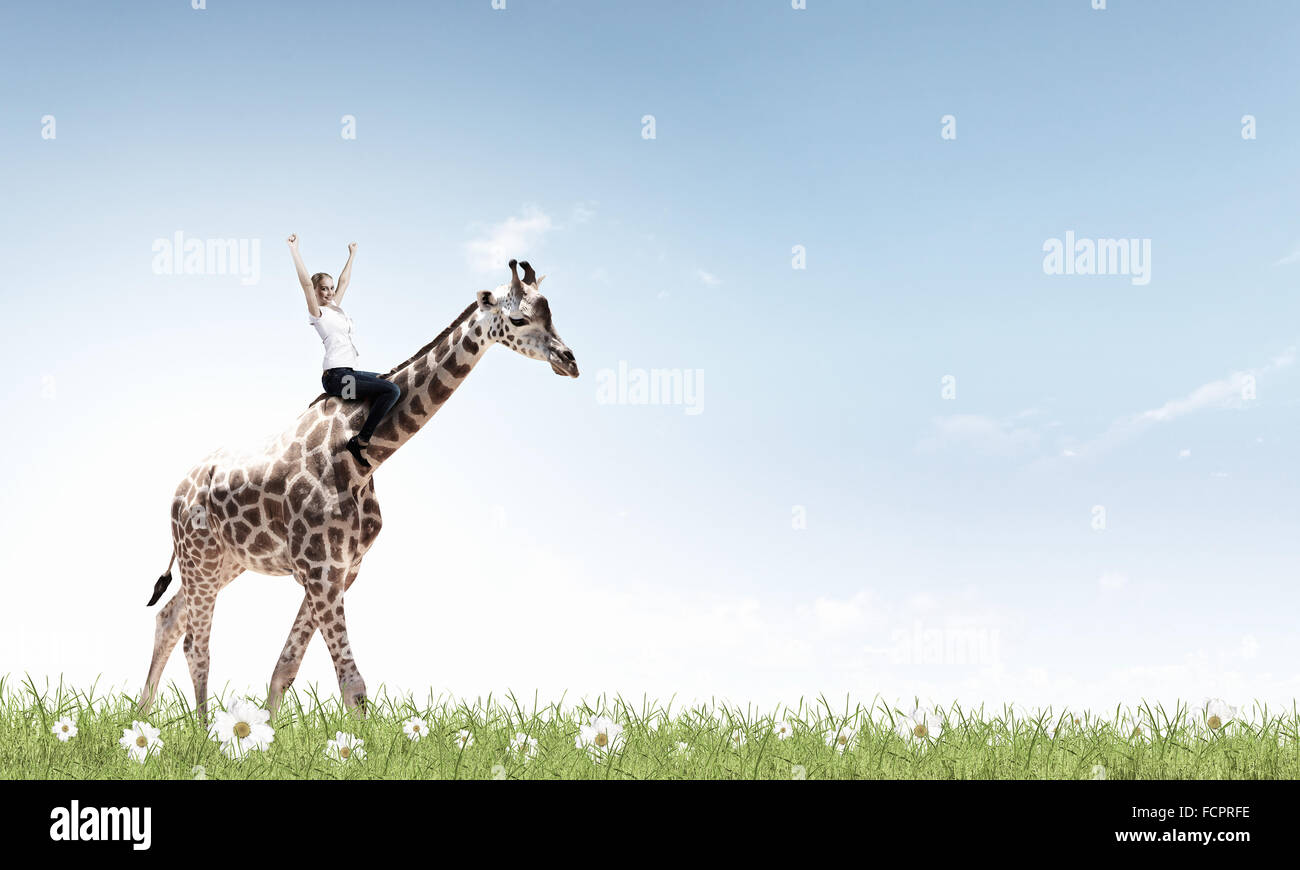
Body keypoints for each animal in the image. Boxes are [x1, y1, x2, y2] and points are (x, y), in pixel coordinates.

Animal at [138, 260, 578, 724]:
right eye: (519, 319)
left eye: (550, 313)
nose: (569, 361)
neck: (366, 456)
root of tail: (177, 493)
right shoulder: (320, 568)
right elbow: (354, 686)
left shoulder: (343, 569)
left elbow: (286, 668)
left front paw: (270, 735)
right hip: (201, 557)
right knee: (195, 644)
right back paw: (201, 732)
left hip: (225, 561)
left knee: (169, 618)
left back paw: (141, 715)